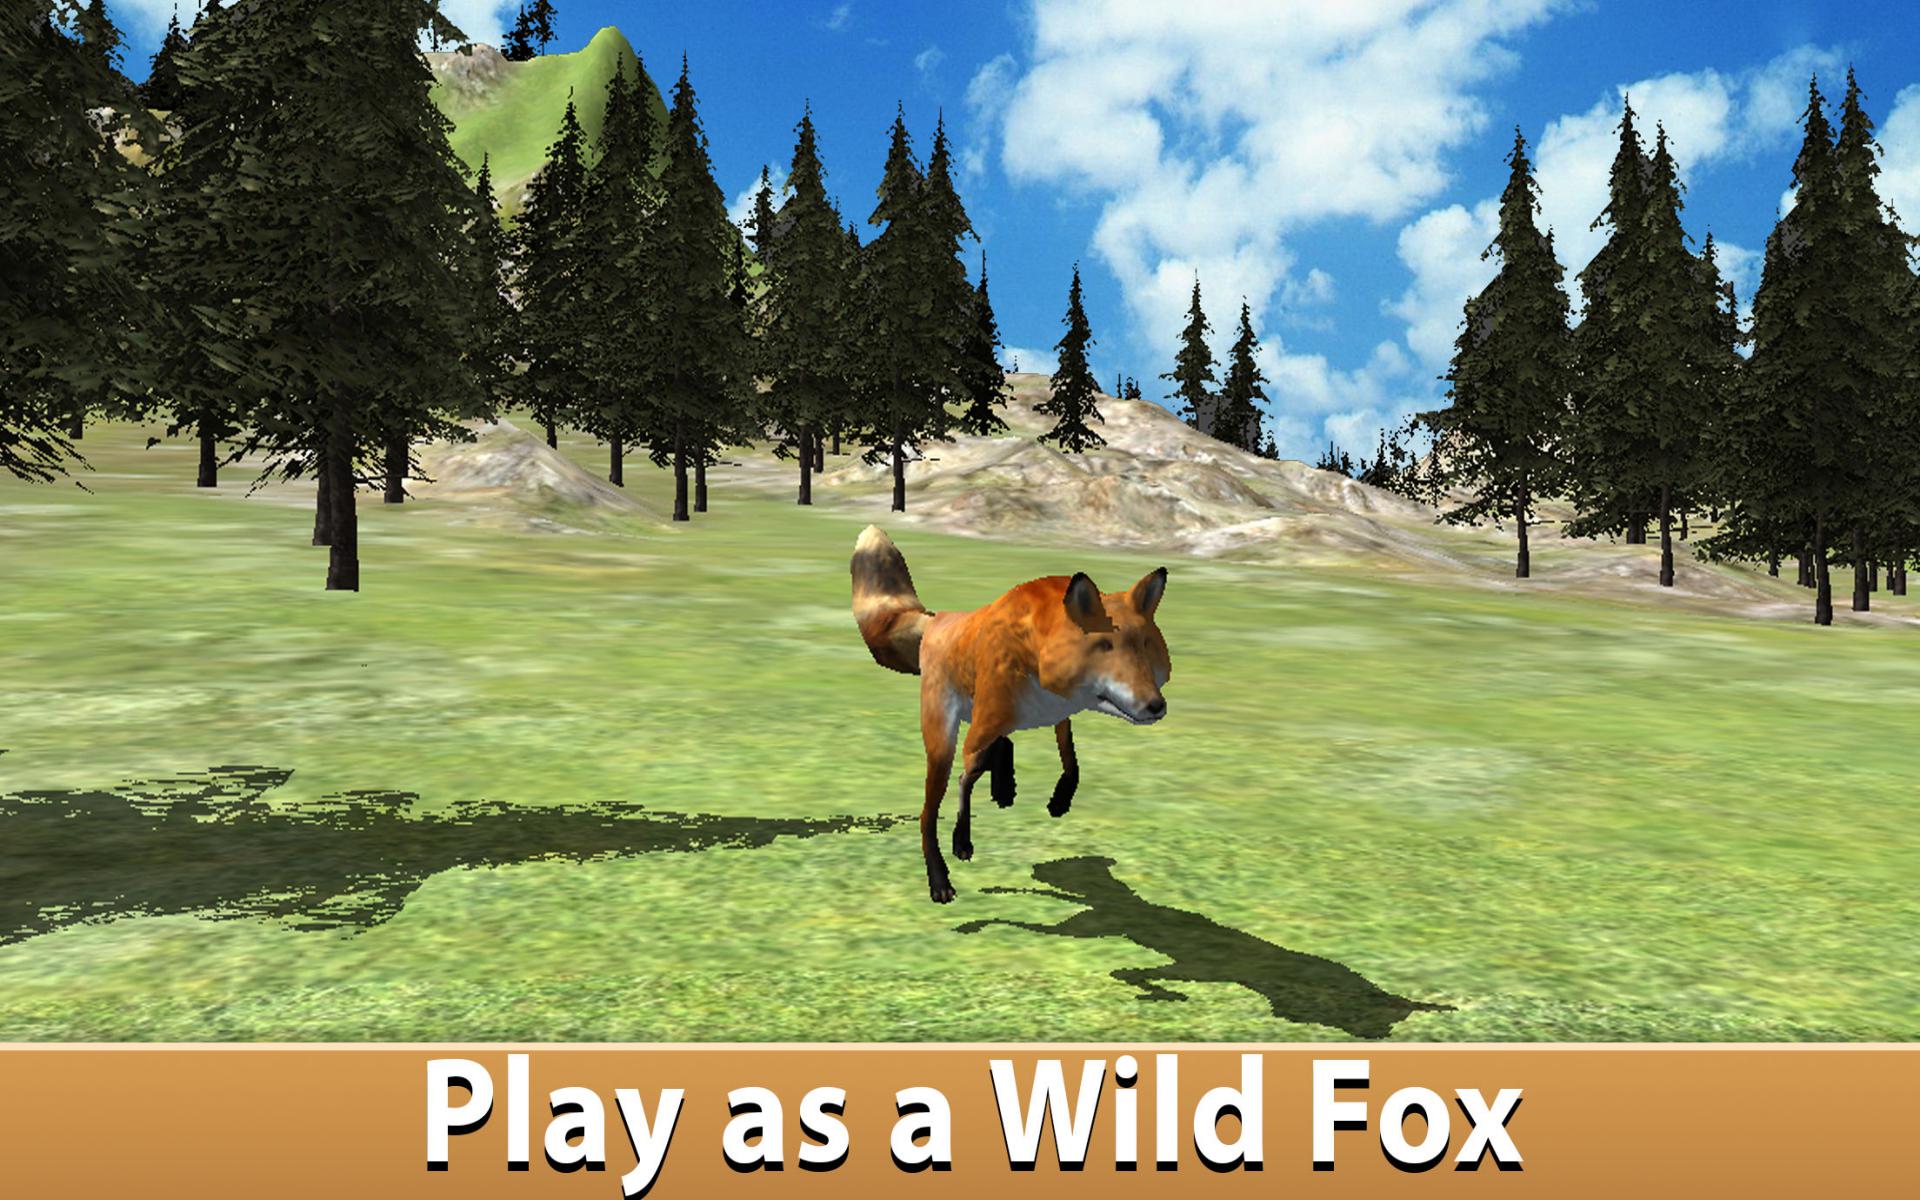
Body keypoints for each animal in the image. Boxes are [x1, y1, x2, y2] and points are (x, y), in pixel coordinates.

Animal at [850, 525, 1171, 904]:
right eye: (1105, 647)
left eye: (1145, 646)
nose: (1156, 705)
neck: (1032, 648)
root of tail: (937, 619)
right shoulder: (984, 727)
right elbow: (966, 778)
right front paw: (959, 844)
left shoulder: (1057, 711)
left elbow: (1070, 758)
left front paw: (1059, 799)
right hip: (943, 738)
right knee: (931, 809)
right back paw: (942, 874)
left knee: (995, 752)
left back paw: (1003, 787)